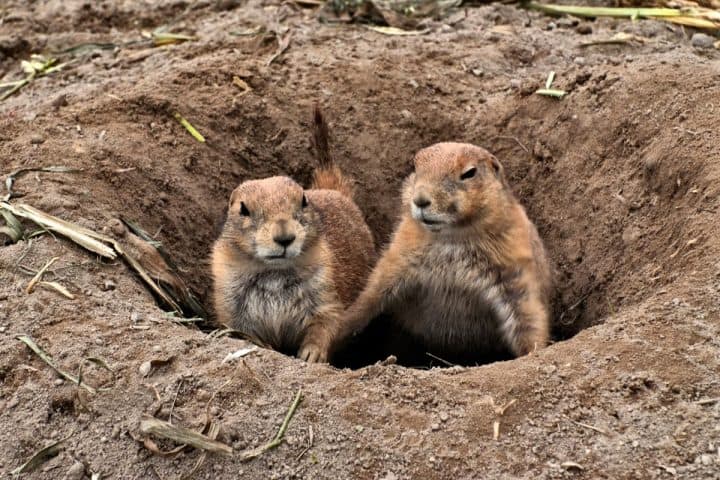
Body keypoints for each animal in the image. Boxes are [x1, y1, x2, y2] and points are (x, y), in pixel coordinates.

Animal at [210, 107, 375, 362]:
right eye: (243, 209)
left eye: (304, 200)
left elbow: (327, 322)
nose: (285, 238)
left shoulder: (326, 289)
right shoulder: (229, 298)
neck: (274, 272)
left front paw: (311, 354)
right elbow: (241, 331)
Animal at [329, 142, 552, 365]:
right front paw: (341, 329)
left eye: (469, 172)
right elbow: (371, 295)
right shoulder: (398, 255)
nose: (420, 200)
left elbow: (528, 314)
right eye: (414, 167)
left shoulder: (515, 267)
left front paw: (532, 351)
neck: (451, 237)